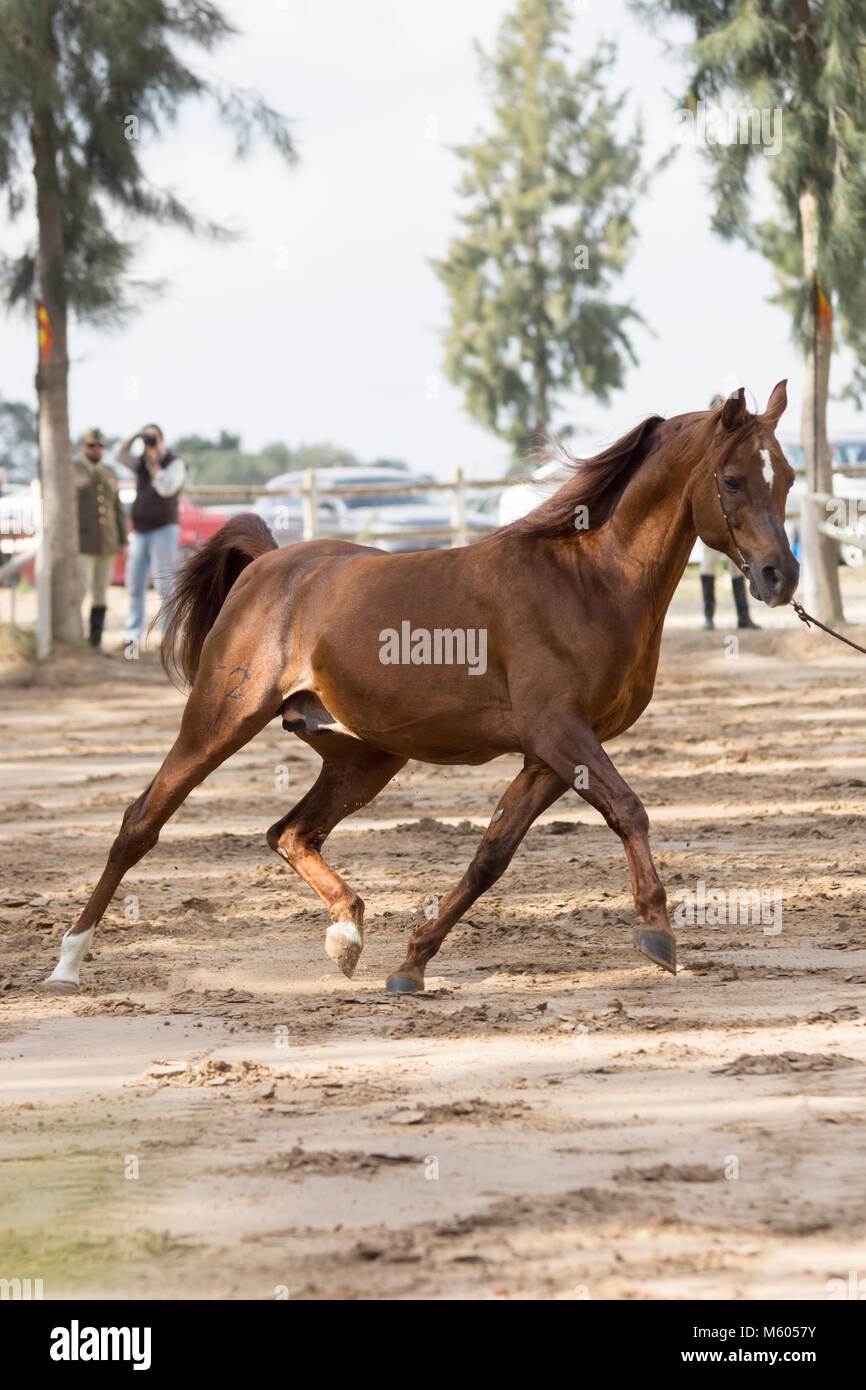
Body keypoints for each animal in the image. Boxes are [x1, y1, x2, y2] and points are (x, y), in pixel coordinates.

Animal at [45, 382, 798, 995]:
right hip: (219, 721)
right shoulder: (560, 733)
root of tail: (269, 567)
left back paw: (347, 934)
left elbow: (492, 854)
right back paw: (67, 964)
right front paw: (658, 935)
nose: (779, 576)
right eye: (732, 480)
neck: (587, 581)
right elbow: (628, 811)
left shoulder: (549, 756)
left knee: (290, 831)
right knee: (141, 823)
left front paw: (412, 965)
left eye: (787, 477)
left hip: (364, 756)